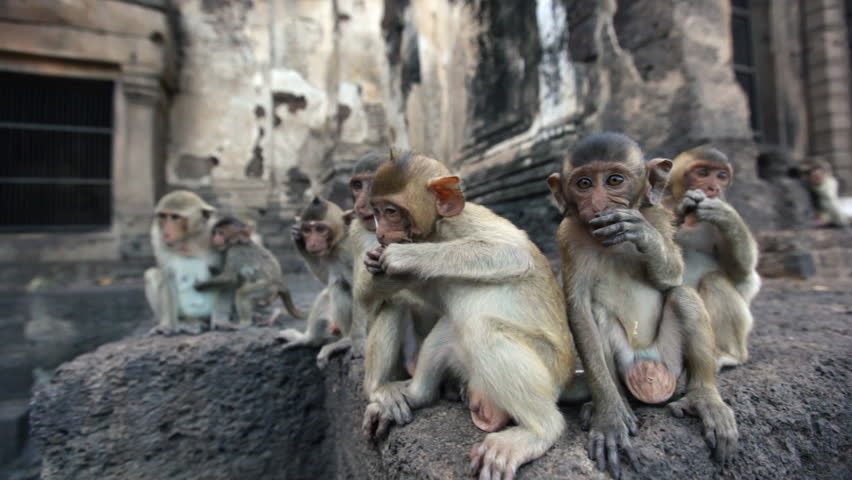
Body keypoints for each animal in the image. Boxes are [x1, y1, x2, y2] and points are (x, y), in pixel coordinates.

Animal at [145, 190, 222, 335]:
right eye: (163, 216)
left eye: (175, 217)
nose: (166, 231)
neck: (188, 241)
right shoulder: (157, 238)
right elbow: (168, 278)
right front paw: (166, 325)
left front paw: (220, 320)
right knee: (151, 274)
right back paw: (186, 322)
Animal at [277, 196, 356, 368]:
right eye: (307, 230)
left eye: (320, 229)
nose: (312, 243)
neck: (339, 242)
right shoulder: (328, 255)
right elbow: (326, 278)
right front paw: (298, 241)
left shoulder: (350, 250)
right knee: (331, 289)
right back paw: (308, 340)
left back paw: (347, 341)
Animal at [360, 150, 575, 480]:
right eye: (376, 211)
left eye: (391, 211)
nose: (381, 233)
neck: (435, 232)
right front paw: (376, 264)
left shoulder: (466, 223)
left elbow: (512, 253)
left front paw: (404, 257)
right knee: (446, 325)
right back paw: (413, 395)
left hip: (549, 368)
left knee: (481, 328)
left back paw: (537, 432)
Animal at [547, 133, 737, 477]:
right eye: (583, 183)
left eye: (614, 180)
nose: (599, 204)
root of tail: (650, 371)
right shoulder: (567, 236)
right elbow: (580, 310)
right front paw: (609, 420)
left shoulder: (660, 215)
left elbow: (673, 276)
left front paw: (641, 234)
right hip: (628, 366)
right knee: (597, 314)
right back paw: (613, 405)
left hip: (672, 363)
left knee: (684, 296)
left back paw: (705, 398)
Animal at [666, 146, 761, 369]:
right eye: (702, 173)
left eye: (721, 176)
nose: (713, 188)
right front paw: (678, 211)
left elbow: (742, 275)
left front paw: (725, 215)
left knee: (715, 279)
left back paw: (729, 355)